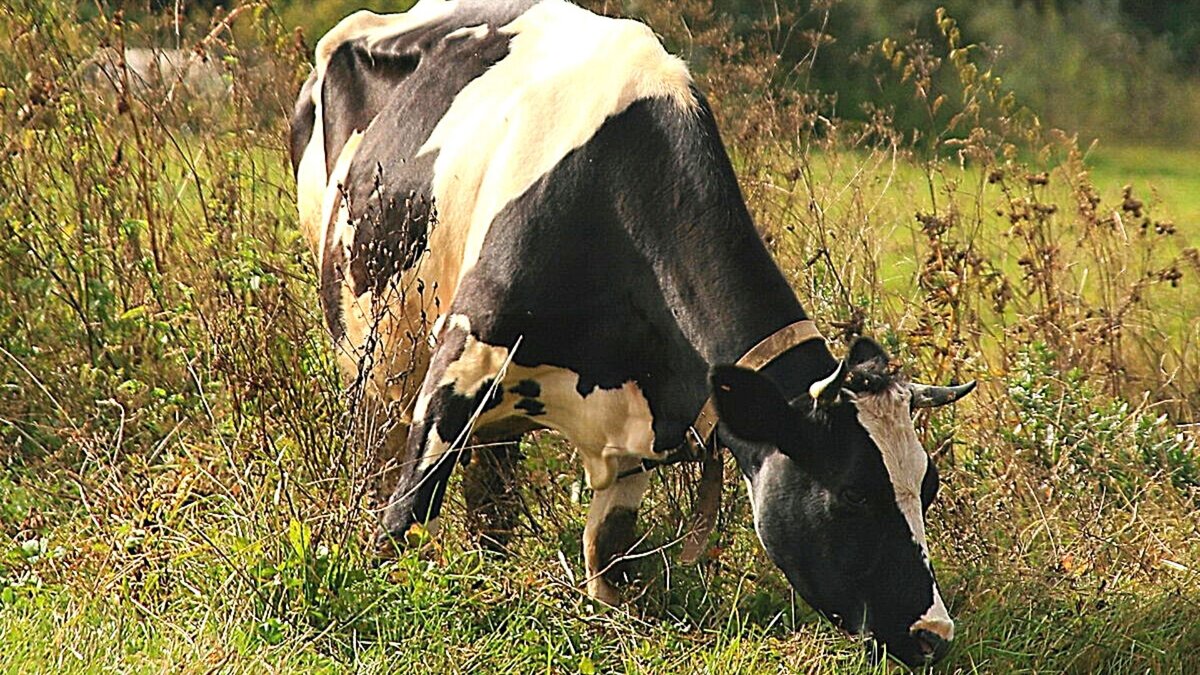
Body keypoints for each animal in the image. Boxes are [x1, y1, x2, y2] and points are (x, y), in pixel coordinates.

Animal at [288, 0, 974, 662]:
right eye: (855, 493)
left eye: (929, 487)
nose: (934, 635)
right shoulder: (459, 364)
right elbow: (408, 515)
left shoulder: (640, 428)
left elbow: (610, 559)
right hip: (367, 350)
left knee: (493, 486)